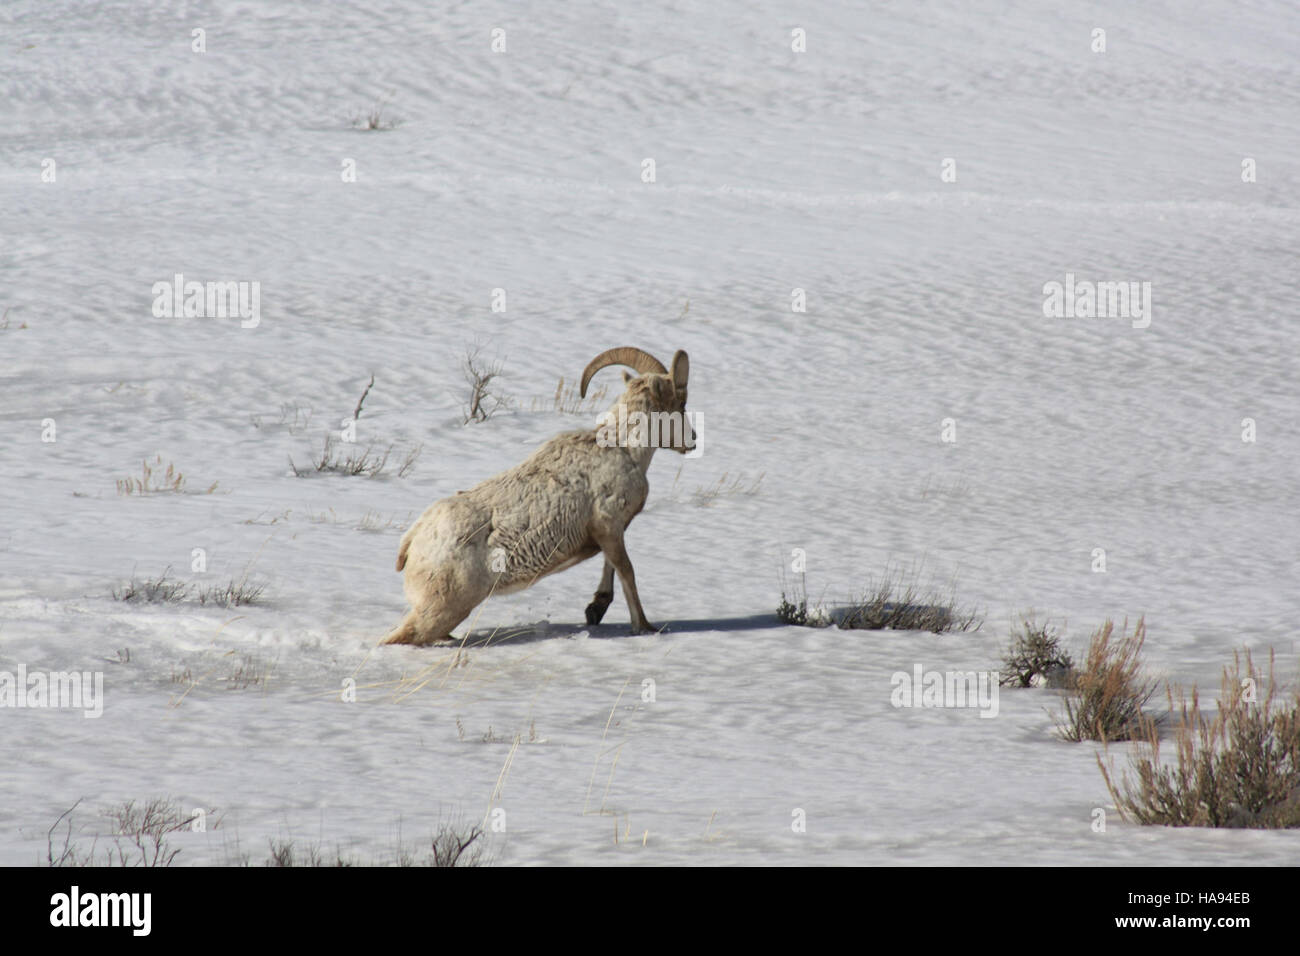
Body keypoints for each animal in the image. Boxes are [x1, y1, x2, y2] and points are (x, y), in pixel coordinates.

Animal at [381, 346, 694, 646]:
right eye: (680, 403)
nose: (692, 441)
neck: (624, 448)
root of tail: (412, 541)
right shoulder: (609, 525)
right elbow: (627, 570)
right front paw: (644, 627)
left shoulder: (609, 532)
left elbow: (612, 566)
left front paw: (596, 609)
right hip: (444, 609)